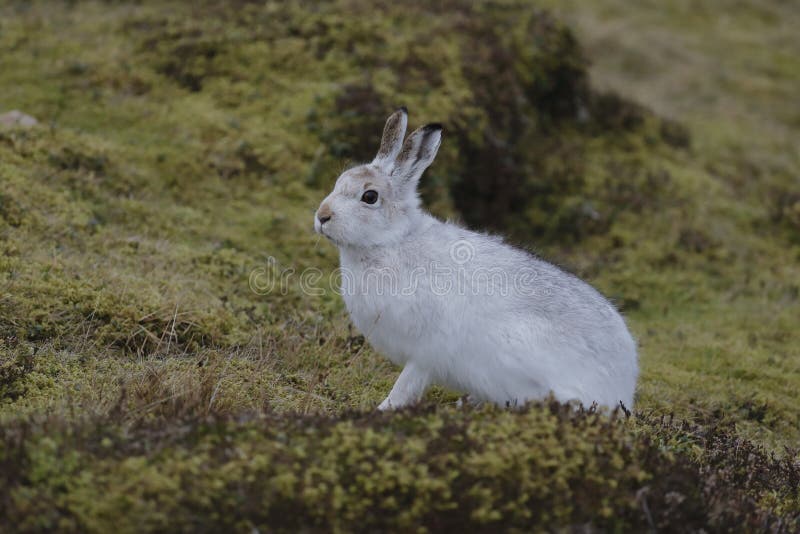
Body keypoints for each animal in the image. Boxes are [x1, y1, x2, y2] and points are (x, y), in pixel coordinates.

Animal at [314, 107, 638, 410]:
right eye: (339, 181)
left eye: (369, 197)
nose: (321, 217)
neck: (392, 240)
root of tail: (624, 386)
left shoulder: (427, 351)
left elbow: (406, 383)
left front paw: (383, 409)